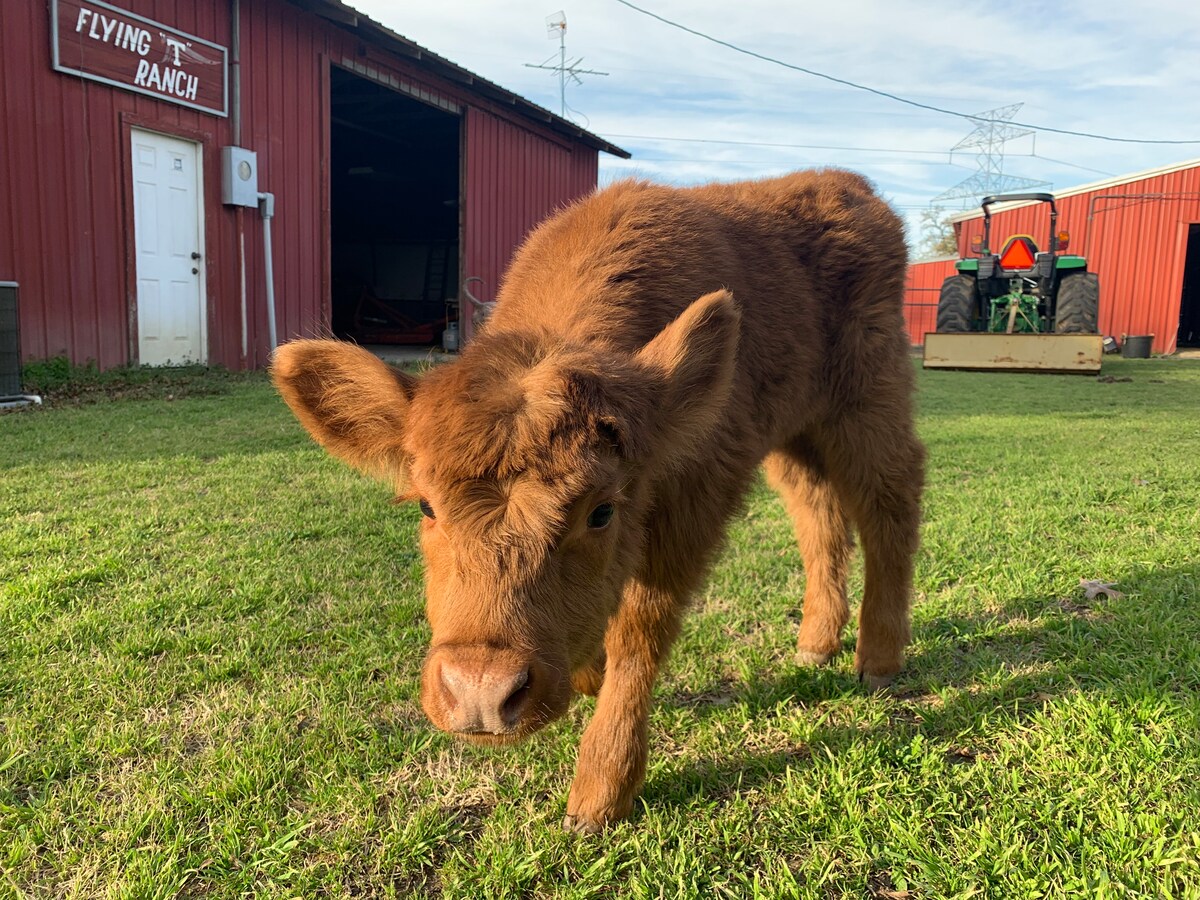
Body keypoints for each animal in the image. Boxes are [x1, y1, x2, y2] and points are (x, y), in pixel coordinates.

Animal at [272, 169, 925, 832]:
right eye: (427, 507)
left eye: (601, 510)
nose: (481, 691)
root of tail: (846, 186)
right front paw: (589, 674)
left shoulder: (692, 503)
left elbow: (639, 630)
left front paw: (601, 791)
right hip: (796, 436)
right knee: (819, 514)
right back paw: (816, 643)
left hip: (868, 404)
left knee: (890, 504)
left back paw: (878, 655)